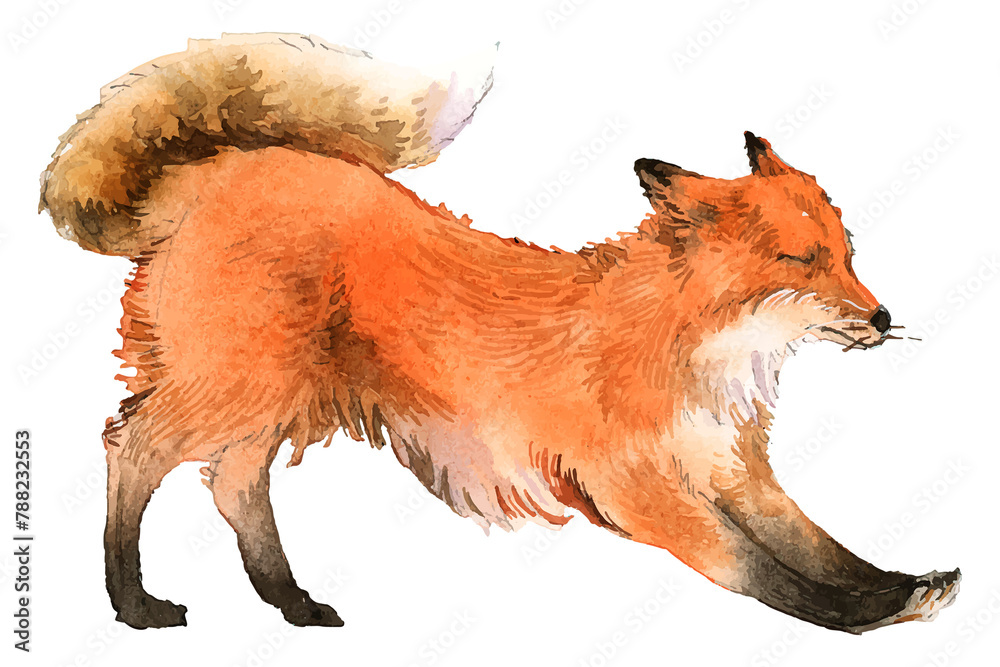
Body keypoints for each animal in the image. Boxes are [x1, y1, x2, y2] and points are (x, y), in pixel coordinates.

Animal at [39, 32, 959, 634]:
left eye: (846, 252)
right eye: (797, 260)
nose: (882, 318)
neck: (694, 348)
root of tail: (219, 168)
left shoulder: (735, 473)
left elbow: (828, 549)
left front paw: (902, 588)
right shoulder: (637, 488)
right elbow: (766, 575)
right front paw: (860, 619)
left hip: (274, 398)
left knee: (232, 487)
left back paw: (290, 602)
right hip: (240, 387)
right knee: (130, 447)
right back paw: (131, 602)